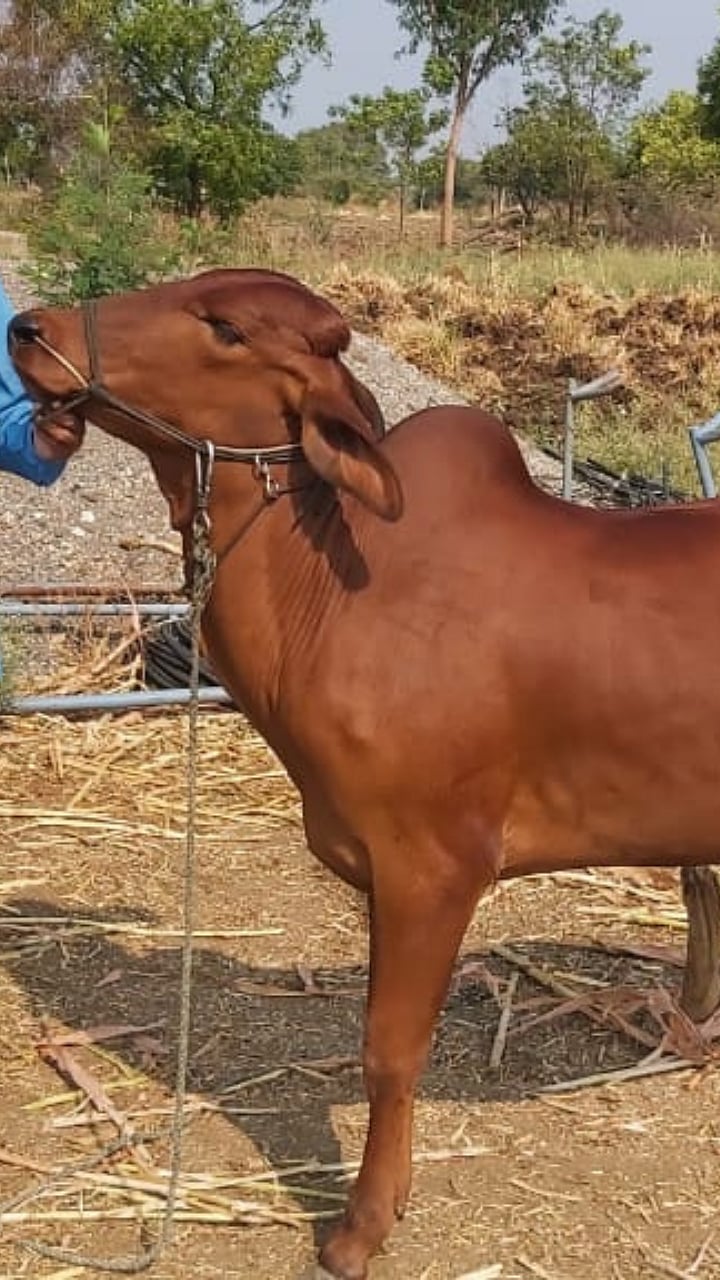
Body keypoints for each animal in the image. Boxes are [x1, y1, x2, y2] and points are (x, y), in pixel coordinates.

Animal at [10, 268, 720, 1279]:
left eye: (224, 327)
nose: (30, 330)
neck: (340, 590)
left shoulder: (433, 866)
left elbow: (389, 1050)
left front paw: (361, 1224)